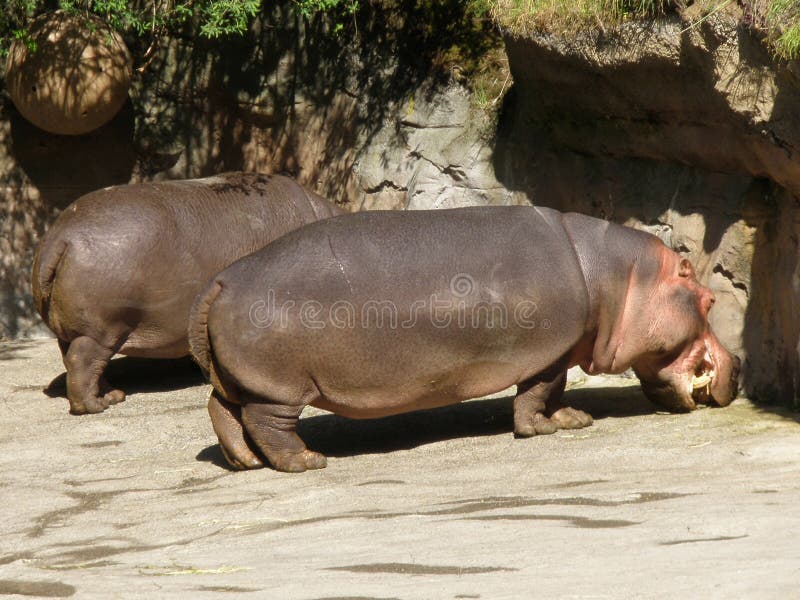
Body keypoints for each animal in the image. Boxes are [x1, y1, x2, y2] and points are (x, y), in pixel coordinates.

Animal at [32, 172, 343, 414]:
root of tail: (60, 236)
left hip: (79, 331)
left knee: (80, 362)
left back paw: (113, 395)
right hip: (102, 329)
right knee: (81, 362)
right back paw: (97, 406)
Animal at [188, 206, 740, 472]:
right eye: (707, 301)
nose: (738, 364)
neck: (618, 280)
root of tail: (222, 281)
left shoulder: (560, 349)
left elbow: (551, 392)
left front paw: (572, 419)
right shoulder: (549, 353)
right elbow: (539, 392)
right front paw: (550, 428)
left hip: (241, 379)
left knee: (222, 409)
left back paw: (244, 464)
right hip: (279, 386)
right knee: (266, 423)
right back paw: (305, 462)